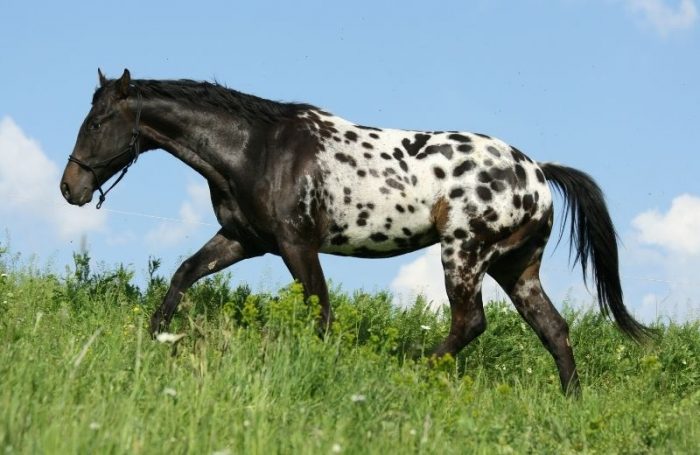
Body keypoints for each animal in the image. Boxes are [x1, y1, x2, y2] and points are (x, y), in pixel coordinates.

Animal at [61, 69, 651, 395]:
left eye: (97, 122)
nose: (70, 188)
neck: (257, 149)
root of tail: (538, 173)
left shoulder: (297, 245)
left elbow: (319, 310)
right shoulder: (245, 240)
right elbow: (184, 274)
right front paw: (156, 335)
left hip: (465, 254)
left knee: (471, 323)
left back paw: (413, 367)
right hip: (515, 266)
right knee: (554, 330)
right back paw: (571, 401)